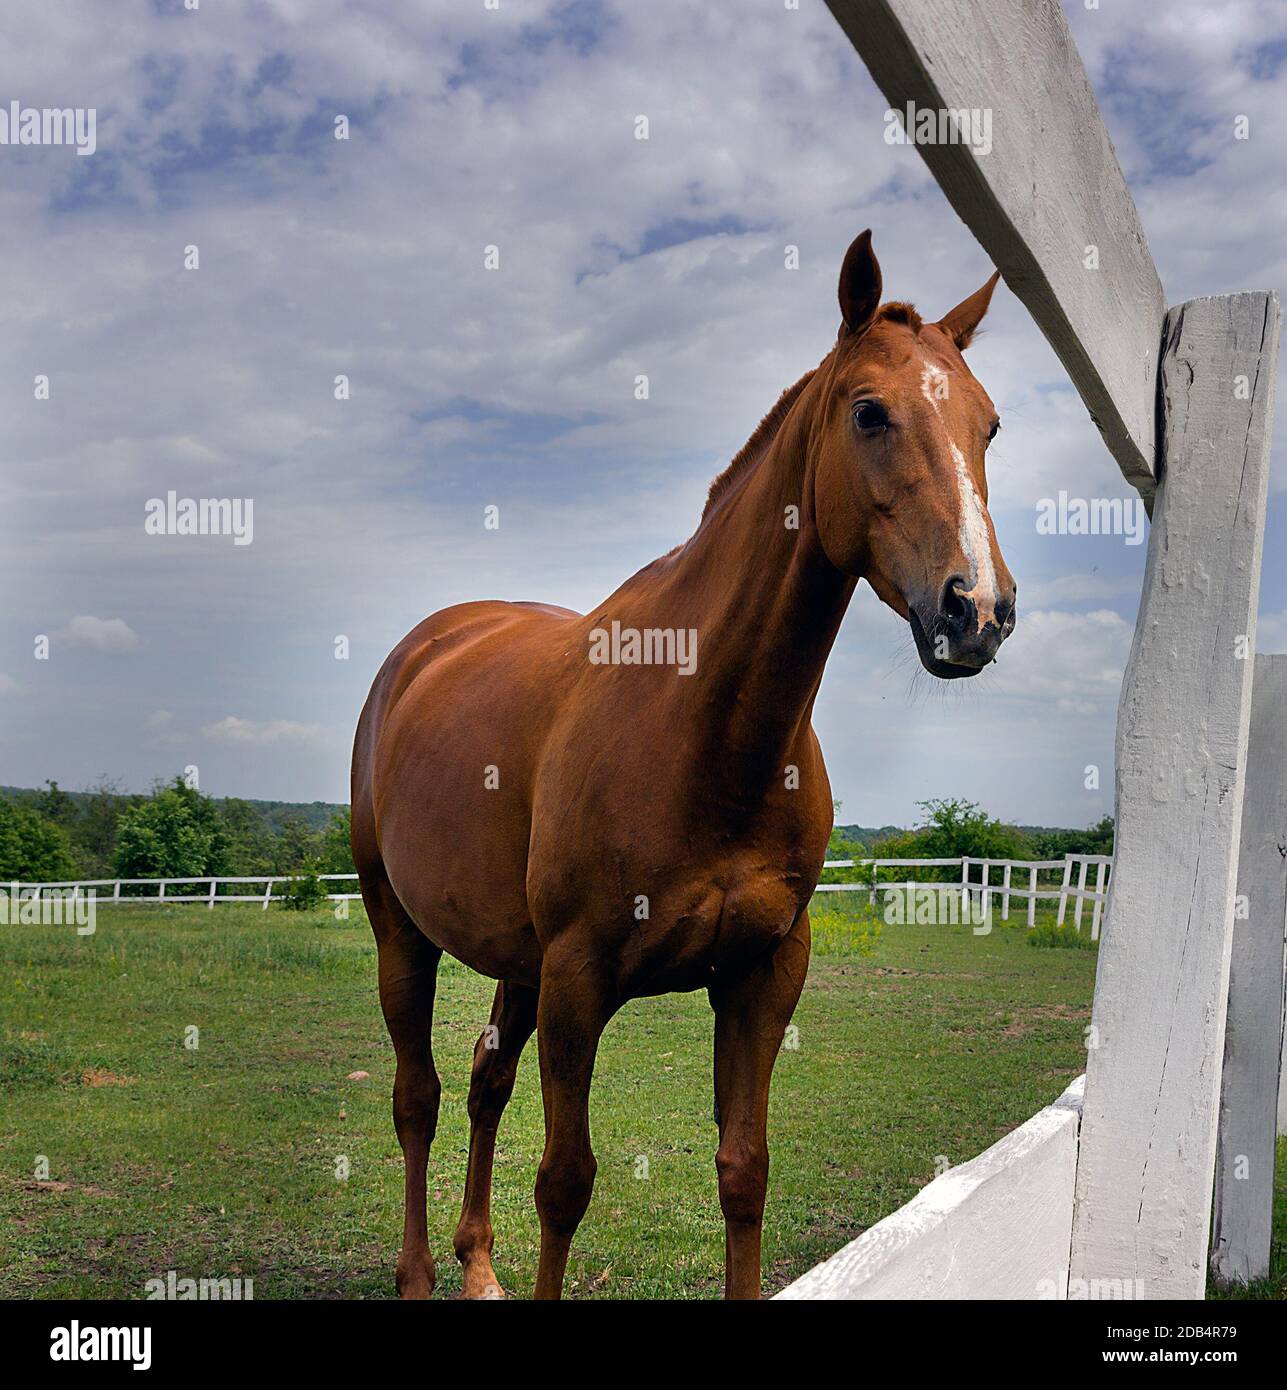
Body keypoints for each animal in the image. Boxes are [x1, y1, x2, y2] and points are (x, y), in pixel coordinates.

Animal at [351, 229, 1017, 1300]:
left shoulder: (760, 973)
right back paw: (419, 1272)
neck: (708, 736)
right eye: (869, 412)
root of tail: (425, 646)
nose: (977, 610)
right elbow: (565, 1184)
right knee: (419, 1096)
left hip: (514, 961)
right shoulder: (579, 980)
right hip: (400, 930)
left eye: (988, 425)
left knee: (487, 1079)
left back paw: (476, 1262)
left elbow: (743, 1171)